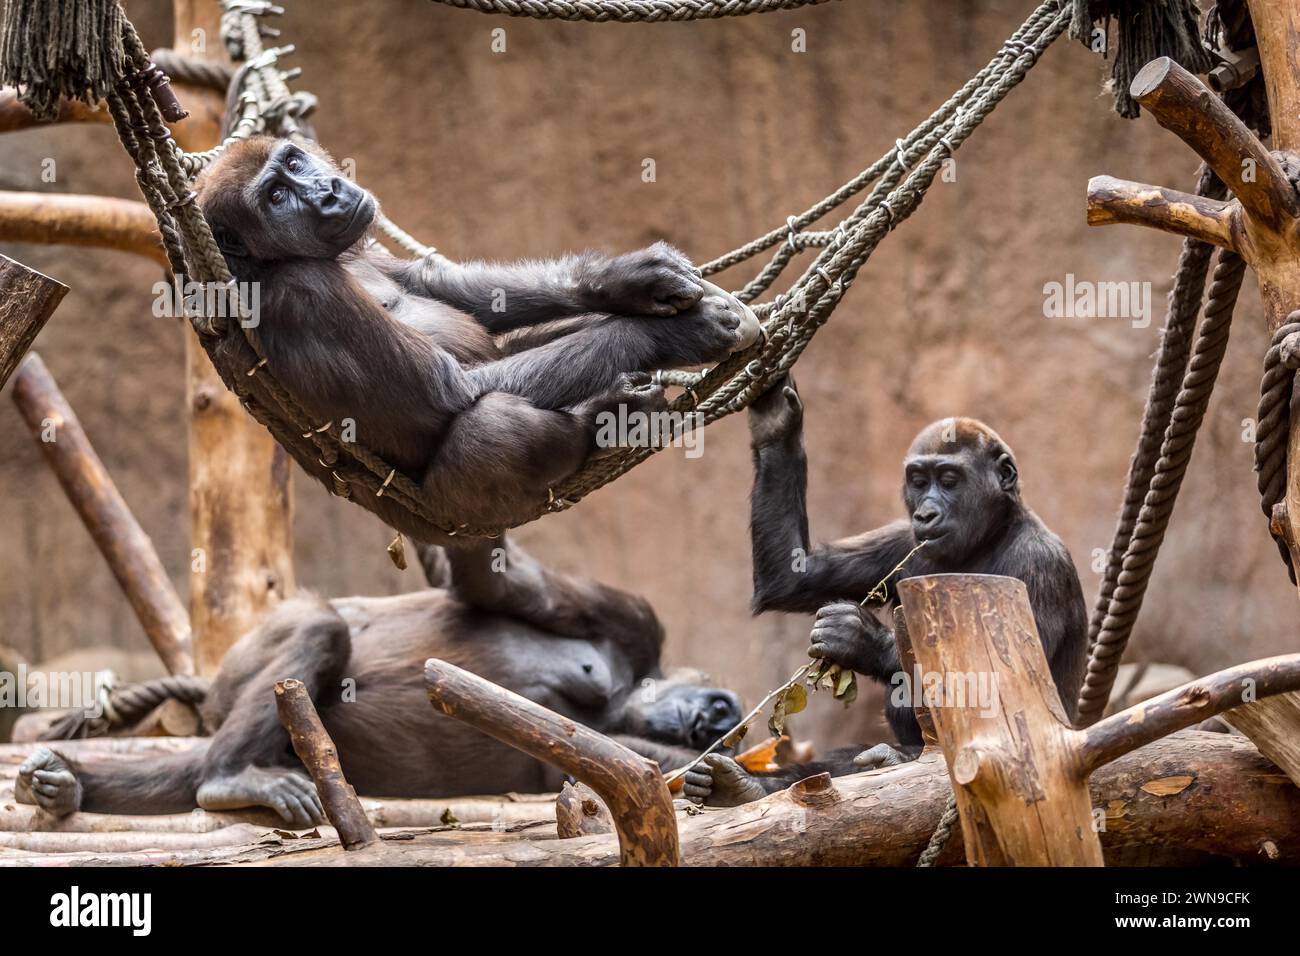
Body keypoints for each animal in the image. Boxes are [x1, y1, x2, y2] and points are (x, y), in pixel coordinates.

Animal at [15, 537, 743, 827]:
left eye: (727, 721)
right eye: (719, 704)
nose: (717, 719)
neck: (627, 691)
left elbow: (623, 767)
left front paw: (730, 782)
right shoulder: (628, 615)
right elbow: (499, 582)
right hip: (240, 671)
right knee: (322, 631)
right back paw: (229, 776)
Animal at [194, 137, 761, 534]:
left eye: (292, 164)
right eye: (276, 197)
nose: (327, 193)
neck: (267, 262)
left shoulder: (362, 247)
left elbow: (443, 285)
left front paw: (629, 280)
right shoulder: (303, 292)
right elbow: (448, 393)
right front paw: (674, 333)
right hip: (457, 514)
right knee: (497, 424)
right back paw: (608, 417)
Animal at [681, 376, 1087, 806]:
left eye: (949, 480)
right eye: (919, 481)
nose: (926, 512)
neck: (991, 533)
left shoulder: (1039, 564)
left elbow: (998, 686)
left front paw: (859, 638)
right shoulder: (903, 540)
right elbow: (794, 575)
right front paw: (775, 420)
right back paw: (739, 787)